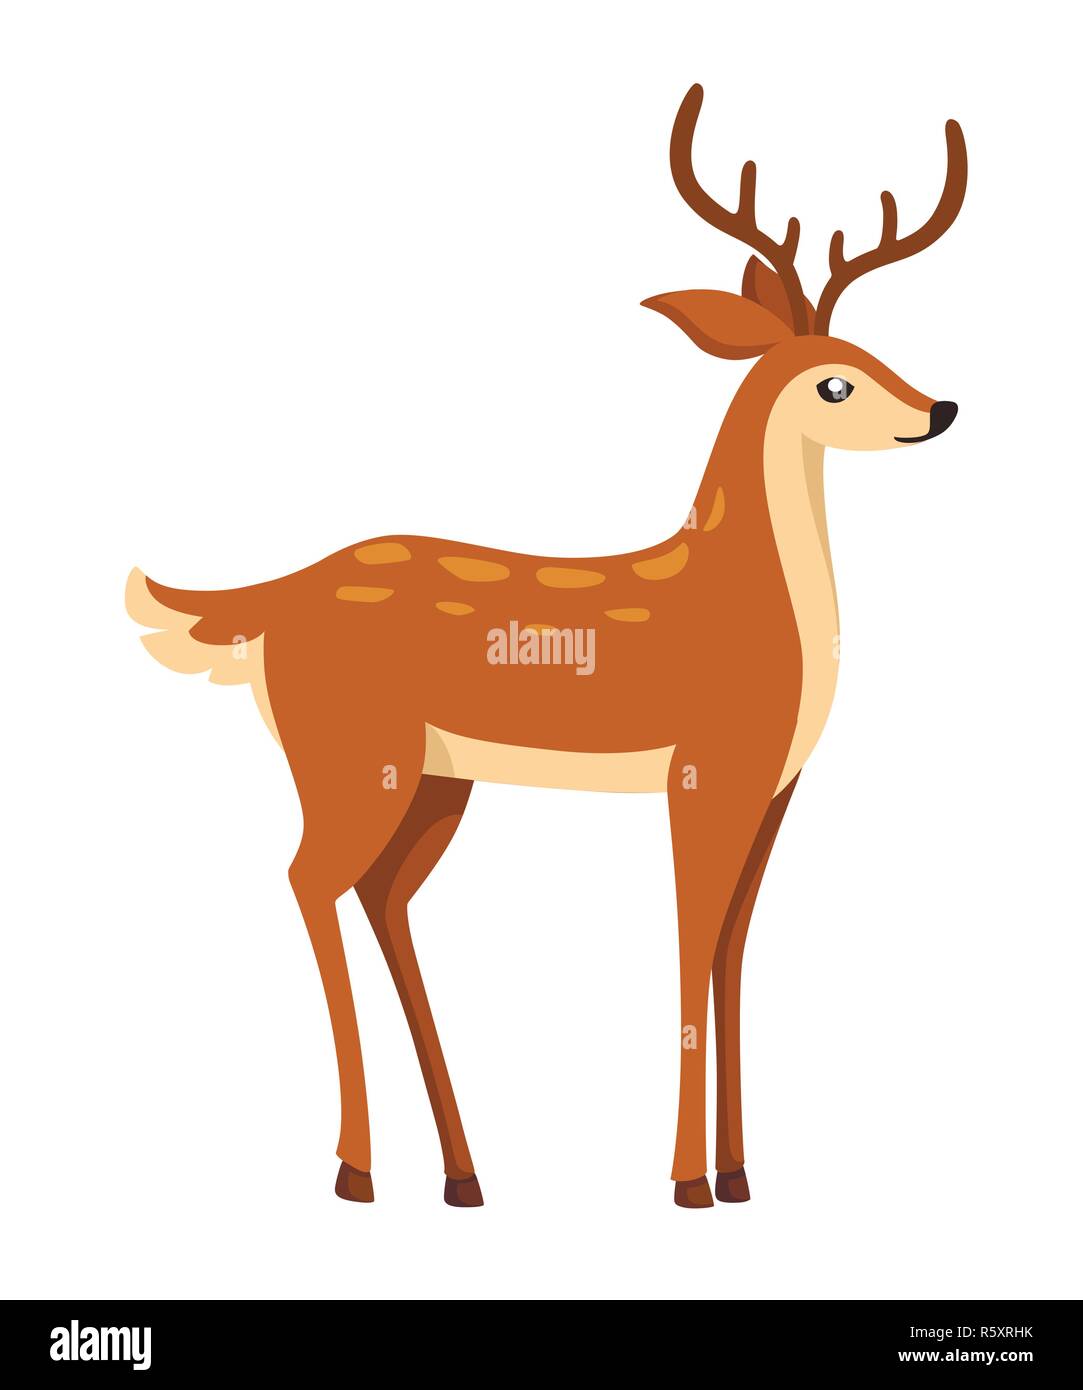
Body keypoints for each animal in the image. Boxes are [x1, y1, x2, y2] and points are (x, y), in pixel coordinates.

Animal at [126, 85, 966, 1209]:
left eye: (874, 351)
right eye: (834, 383)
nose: (941, 407)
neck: (747, 607)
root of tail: (269, 600)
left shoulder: (774, 786)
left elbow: (733, 952)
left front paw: (741, 1173)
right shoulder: (702, 770)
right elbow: (690, 942)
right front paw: (686, 1183)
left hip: (435, 779)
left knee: (380, 897)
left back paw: (462, 1174)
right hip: (350, 756)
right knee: (307, 878)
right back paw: (357, 1167)